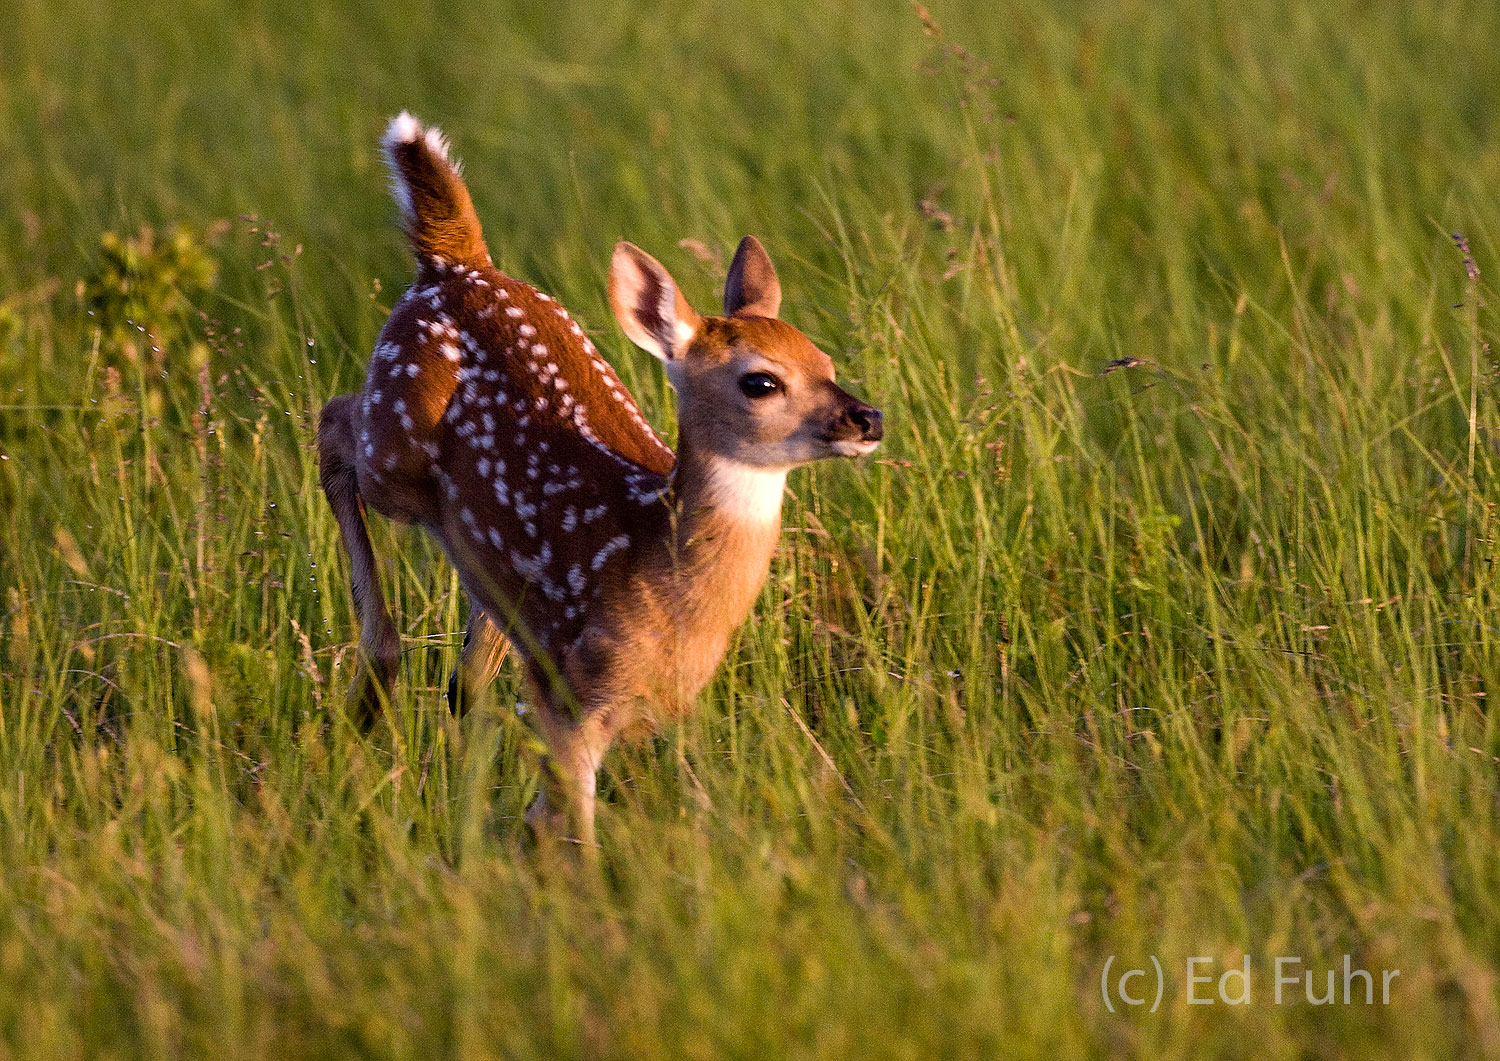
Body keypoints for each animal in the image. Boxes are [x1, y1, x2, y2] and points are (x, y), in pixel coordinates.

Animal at [318, 113, 883, 847]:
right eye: (762, 381)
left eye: (825, 361)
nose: (866, 418)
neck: (655, 576)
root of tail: (457, 261)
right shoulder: (576, 697)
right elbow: (574, 834)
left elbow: (554, 822)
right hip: (394, 446)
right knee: (333, 424)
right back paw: (377, 676)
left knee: (471, 651)